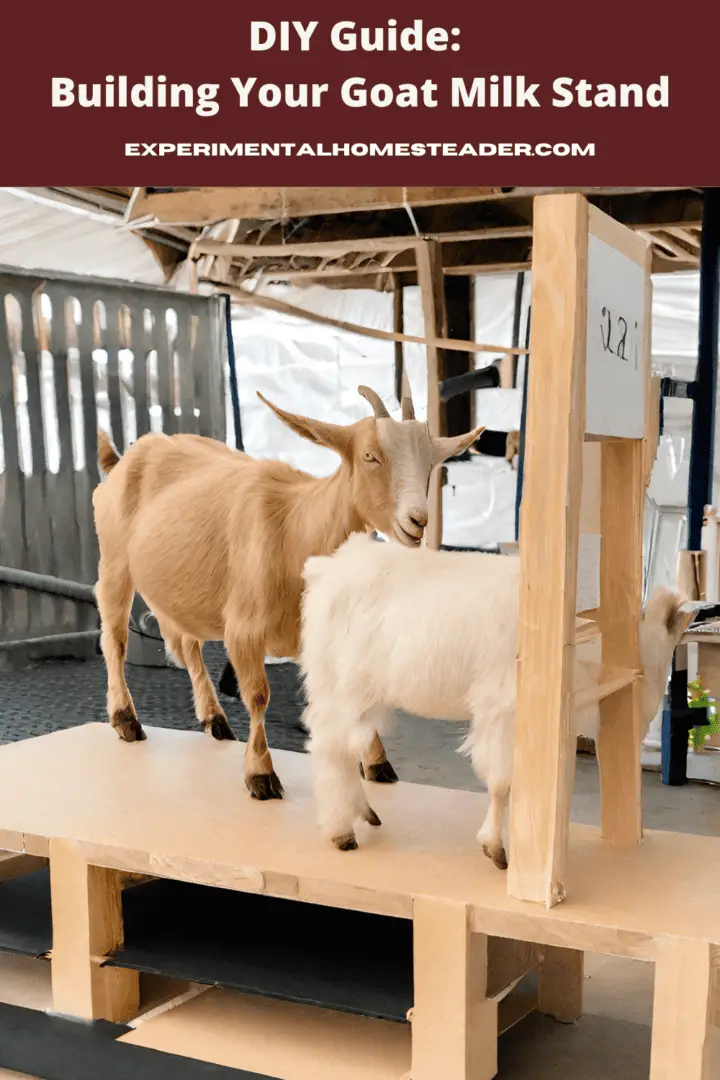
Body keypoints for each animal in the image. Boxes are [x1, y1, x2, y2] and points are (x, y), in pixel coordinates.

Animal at [92, 385, 482, 801]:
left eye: (431, 462)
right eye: (369, 456)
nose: (417, 521)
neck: (298, 529)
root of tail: (124, 459)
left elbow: (356, 702)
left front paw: (376, 763)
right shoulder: (243, 630)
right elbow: (258, 695)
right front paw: (260, 774)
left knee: (186, 645)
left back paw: (215, 720)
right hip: (114, 563)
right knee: (114, 638)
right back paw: (126, 720)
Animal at [299, 533, 691, 863]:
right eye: (665, 651)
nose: (645, 725)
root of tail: (326, 568)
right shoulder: (503, 711)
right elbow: (503, 782)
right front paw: (496, 847)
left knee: (347, 749)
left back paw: (362, 813)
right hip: (337, 687)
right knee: (329, 750)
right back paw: (341, 830)